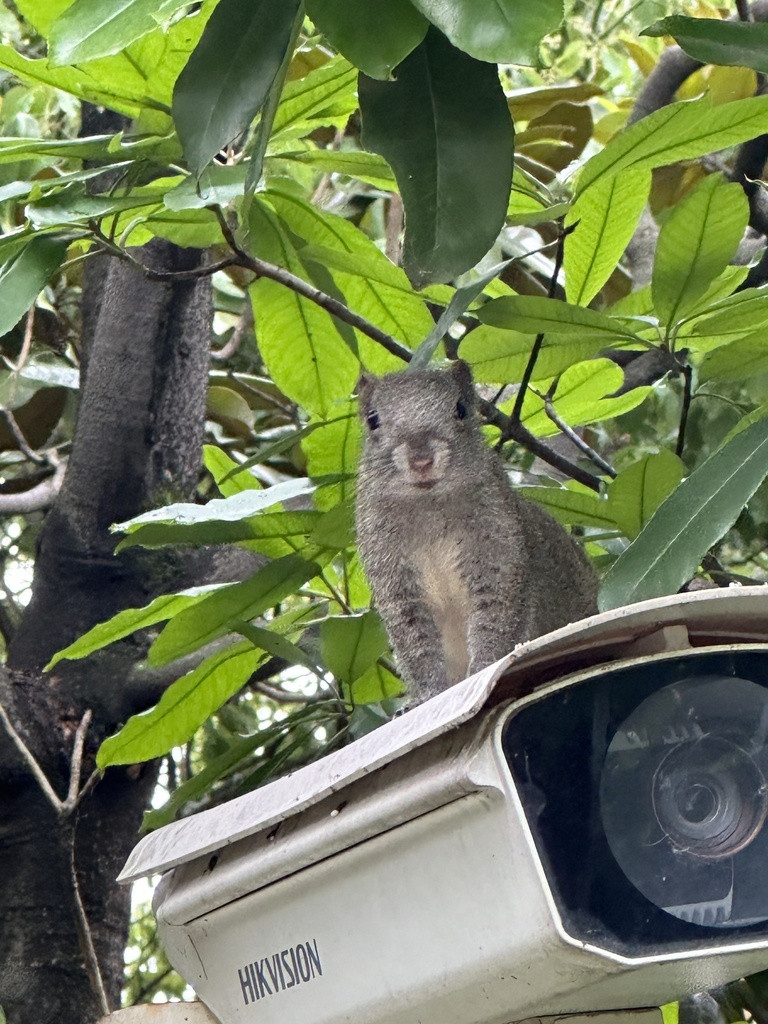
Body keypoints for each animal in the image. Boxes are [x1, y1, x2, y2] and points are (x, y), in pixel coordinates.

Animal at [355, 360, 599, 704]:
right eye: (372, 420)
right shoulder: (393, 576)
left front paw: (483, 669)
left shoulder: (498, 552)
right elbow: (416, 642)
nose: (421, 460)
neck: (431, 503)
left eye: (461, 409)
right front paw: (427, 696)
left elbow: (496, 619)